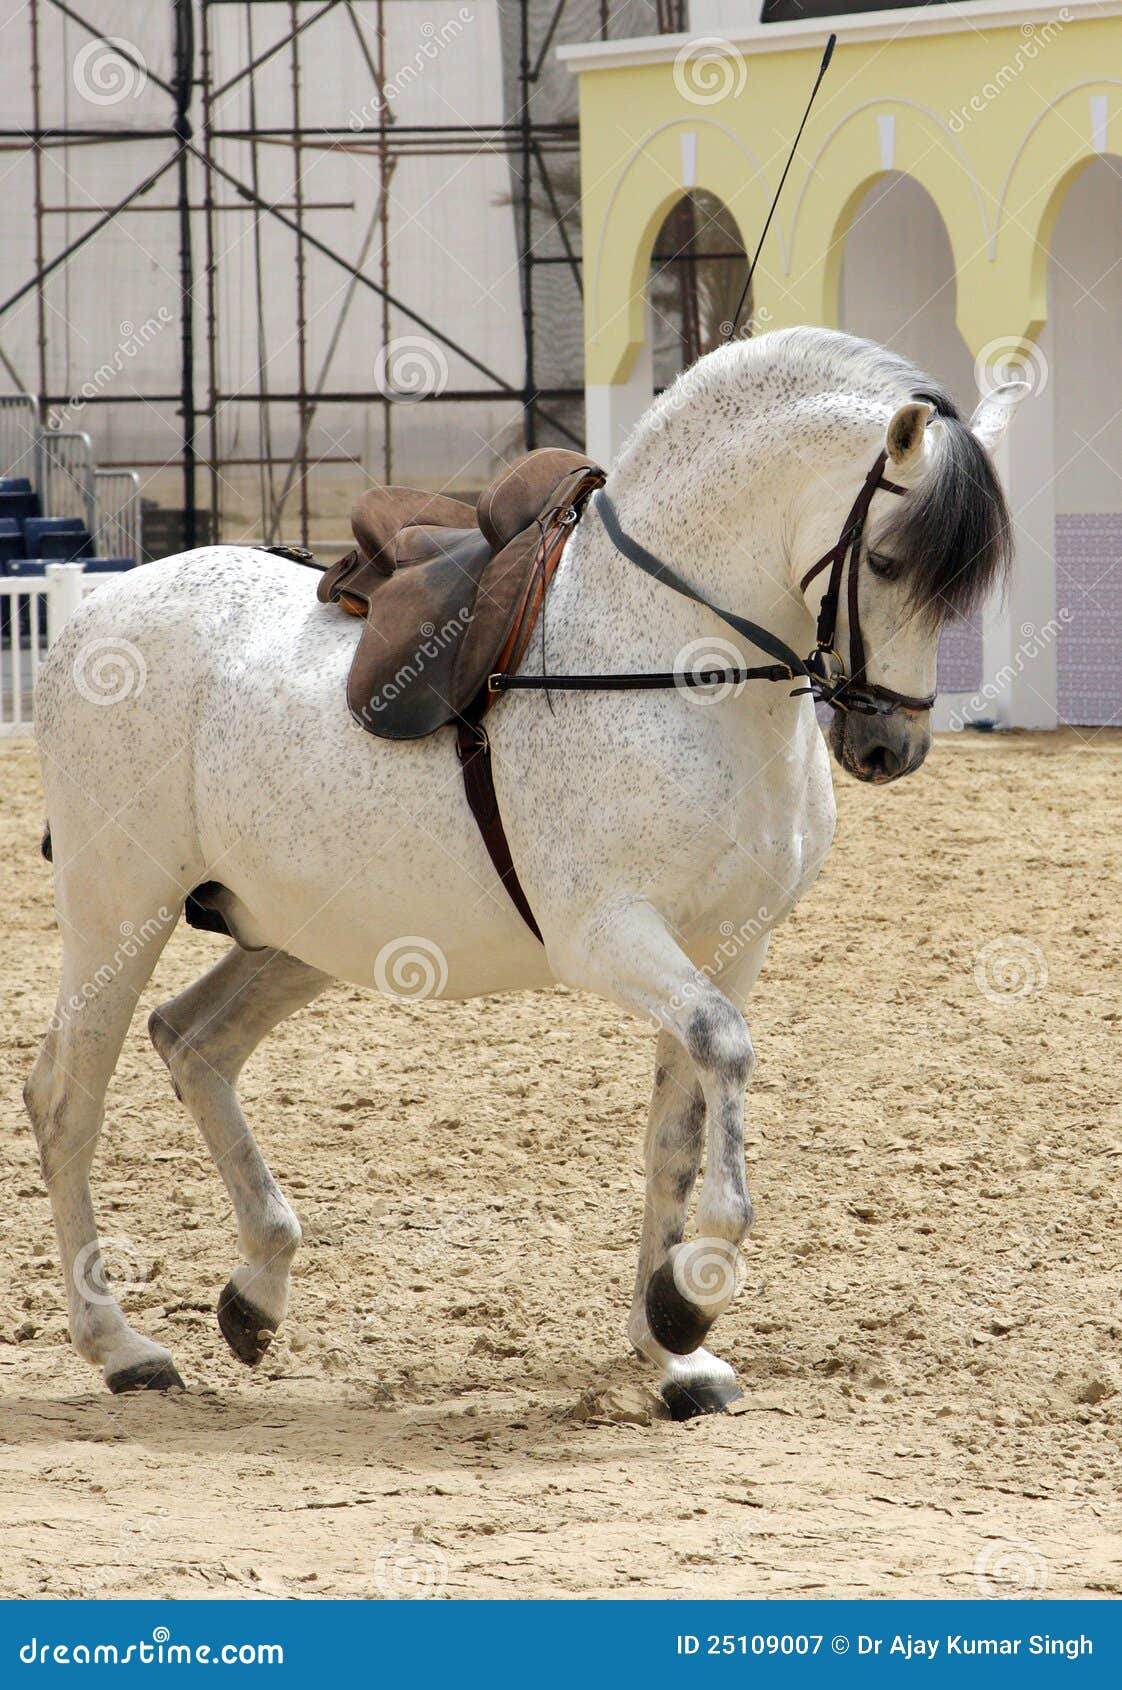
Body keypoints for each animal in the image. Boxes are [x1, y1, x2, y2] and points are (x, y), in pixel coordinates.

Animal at [24, 328, 1025, 1417]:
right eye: (883, 560)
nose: (889, 746)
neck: (667, 656)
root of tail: (101, 611)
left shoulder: (727, 944)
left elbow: (681, 1125)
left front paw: (672, 1347)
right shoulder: (610, 937)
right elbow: (727, 1051)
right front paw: (695, 1297)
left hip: (298, 932)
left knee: (193, 1041)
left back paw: (256, 1290)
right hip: (119, 910)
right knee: (67, 1100)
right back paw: (121, 1343)